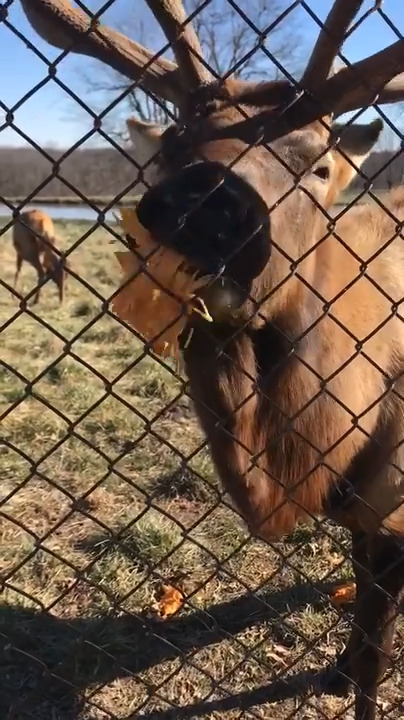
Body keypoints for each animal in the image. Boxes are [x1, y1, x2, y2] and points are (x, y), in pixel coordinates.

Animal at [19, 1, 404, 718]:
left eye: (318, 164)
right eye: (171, 148)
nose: (209, 200)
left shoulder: (393, 503)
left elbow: (374, 650)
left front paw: (356, 676)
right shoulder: (362, 511)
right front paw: (336, 670)